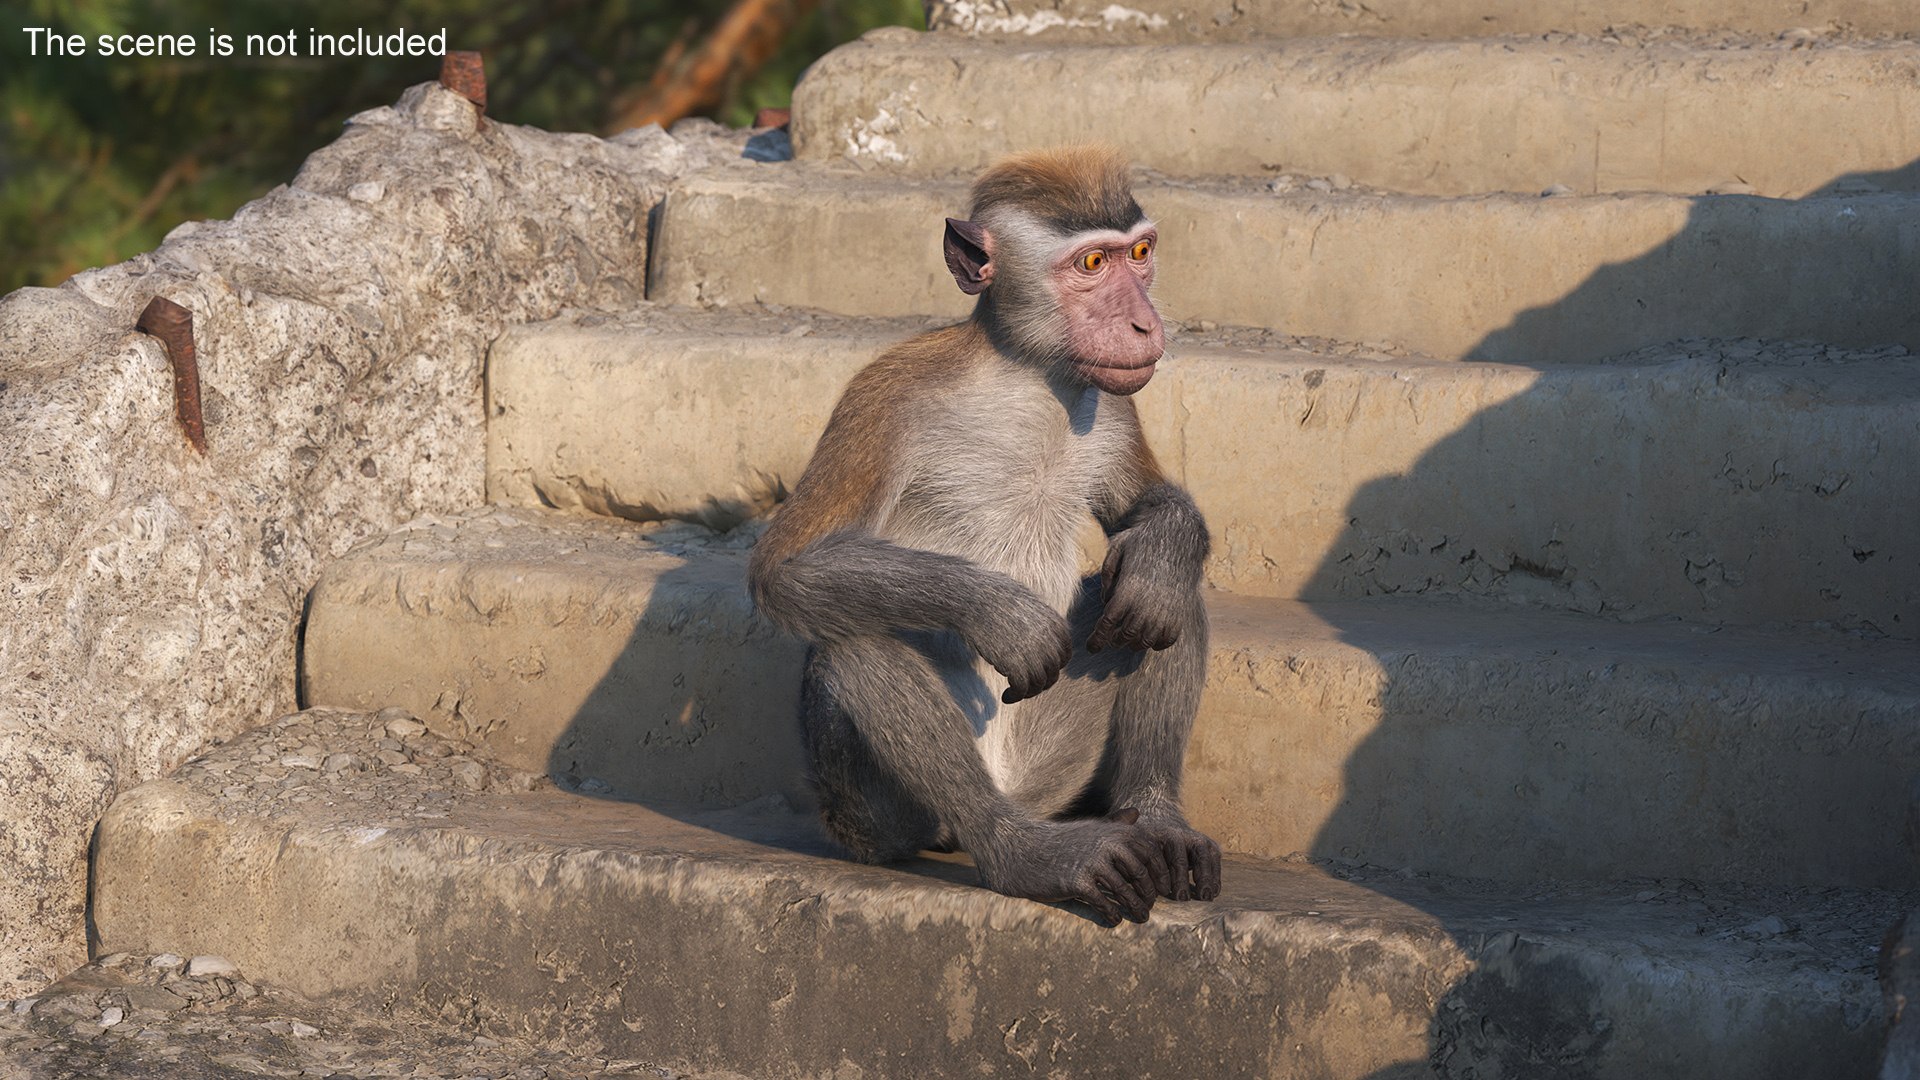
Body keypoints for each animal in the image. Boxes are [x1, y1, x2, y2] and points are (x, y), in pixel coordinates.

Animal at [748, 146, 1221, 925]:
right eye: (1092, 263)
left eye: (1140, 254)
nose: (1145, 326)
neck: (1026, 375)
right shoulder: (887, 396)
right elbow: (784, 567)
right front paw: (999, 613)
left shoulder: (1114, 401)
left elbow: (1146, 513)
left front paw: (1159, 549)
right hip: (871, 816)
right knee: (852, 644)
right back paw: (1020, 852)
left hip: (1052, 764)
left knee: (1162, 602)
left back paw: (1154, 814)